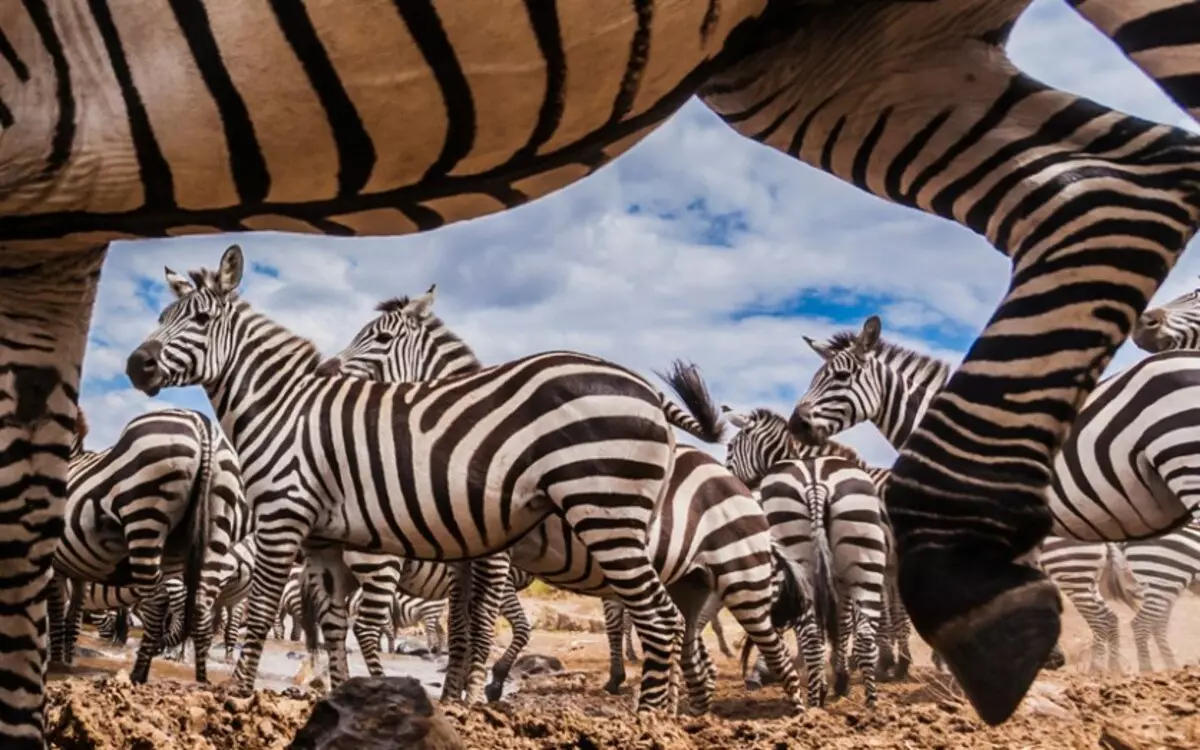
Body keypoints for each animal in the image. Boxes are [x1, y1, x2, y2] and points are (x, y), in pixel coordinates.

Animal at [49, 405, 250, 681]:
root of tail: (204, 426)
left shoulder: (54, 565)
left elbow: (56, 615)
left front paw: (55, 661)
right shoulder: (77, 571)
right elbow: (72, 618)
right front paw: (67, 661)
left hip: (144, 517)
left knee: (158, 605)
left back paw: (138, 674)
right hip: (217, 528)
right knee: (200, 613)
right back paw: (200, 679)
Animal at [127, 247, 724, 715]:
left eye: (202, 319)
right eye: (162, 315)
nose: (136, 365)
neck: (286, 407)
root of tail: (644, 388)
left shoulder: (284, 516)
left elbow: (260, 613)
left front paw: (238, 695)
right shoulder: (330, 541)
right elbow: (343, 625)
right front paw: (350, 699)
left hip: (607, 513)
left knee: (660, 620)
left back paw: (651, 721)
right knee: (677, 624)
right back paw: (676, 712)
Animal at [316, 285, 806, 705]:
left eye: (380, 337)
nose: (324, 371)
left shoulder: (496, 556)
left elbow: (482, 624)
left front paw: (474, 693)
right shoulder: (463, 558)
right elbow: (459, 625)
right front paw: (453, 696)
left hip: (735, 575)